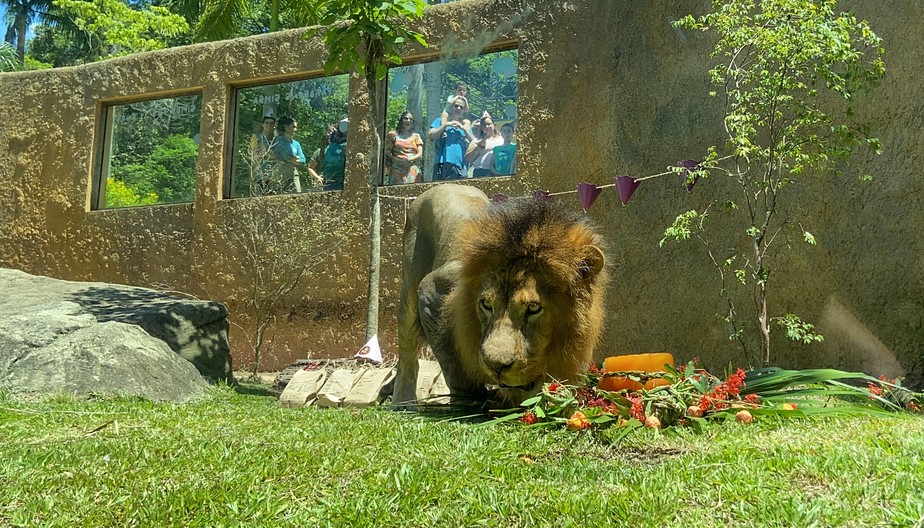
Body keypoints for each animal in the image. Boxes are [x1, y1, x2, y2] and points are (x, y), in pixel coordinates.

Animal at [393, 183, 609, 407]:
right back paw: (403, 402)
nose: (496, 366)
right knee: (407, 350)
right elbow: (454, 365)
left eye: (533, 308)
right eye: (486, 305)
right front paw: (470, 401)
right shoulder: (433, 290)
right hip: (411, 286)